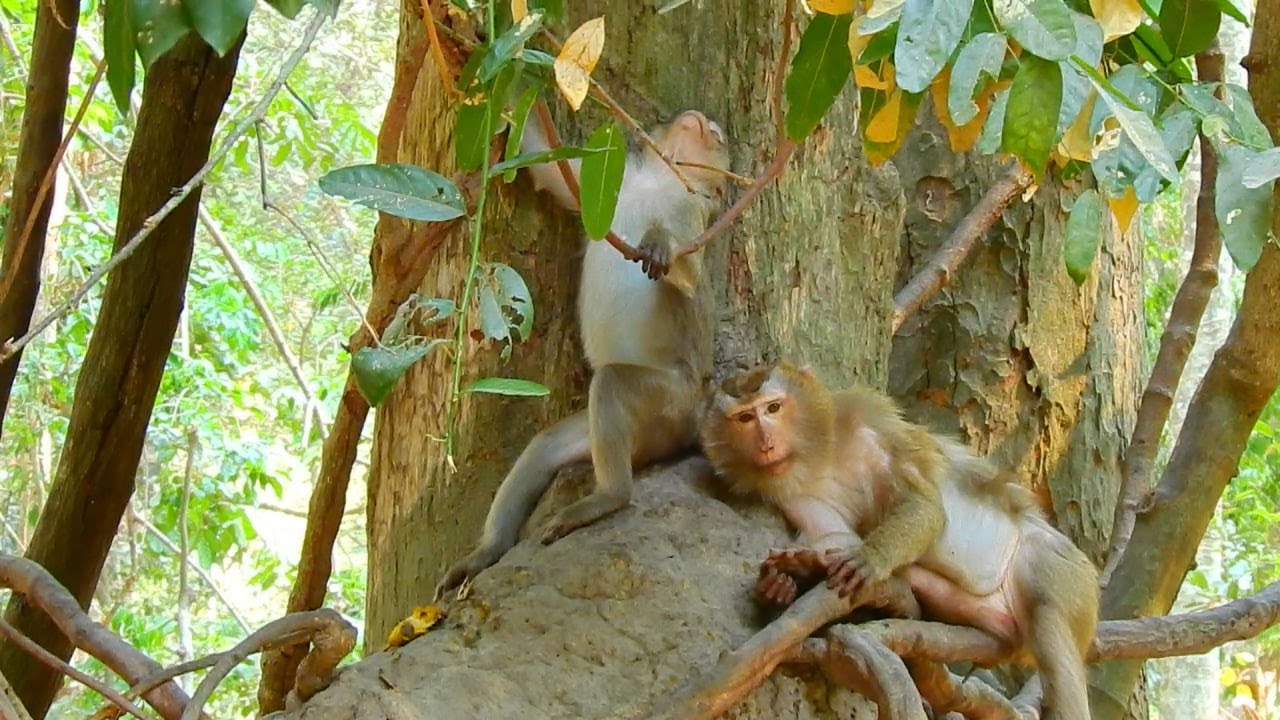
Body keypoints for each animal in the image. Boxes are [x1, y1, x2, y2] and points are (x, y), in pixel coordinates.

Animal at [434, 109, 731, 599]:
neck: (661, 180)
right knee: (545, 446)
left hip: (670, 401)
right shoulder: (610, 183)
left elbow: (688, 274)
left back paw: (609, 497)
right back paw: (487, 552)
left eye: (717, 134)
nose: (701, 117)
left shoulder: (692, 212)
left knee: (610, 383)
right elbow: (552, 168)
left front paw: (660, 244)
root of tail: (695, 413)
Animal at [700, 363, 1099, 720]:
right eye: (745, 418)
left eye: (773, 408)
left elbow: (924, 506)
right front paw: (787, 577)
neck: (819, 456)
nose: (766, 443)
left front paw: (870, 556)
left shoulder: (870, 417)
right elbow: (835, 535)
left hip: (1058, 568)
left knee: (1051, 629)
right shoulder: (794, 495)